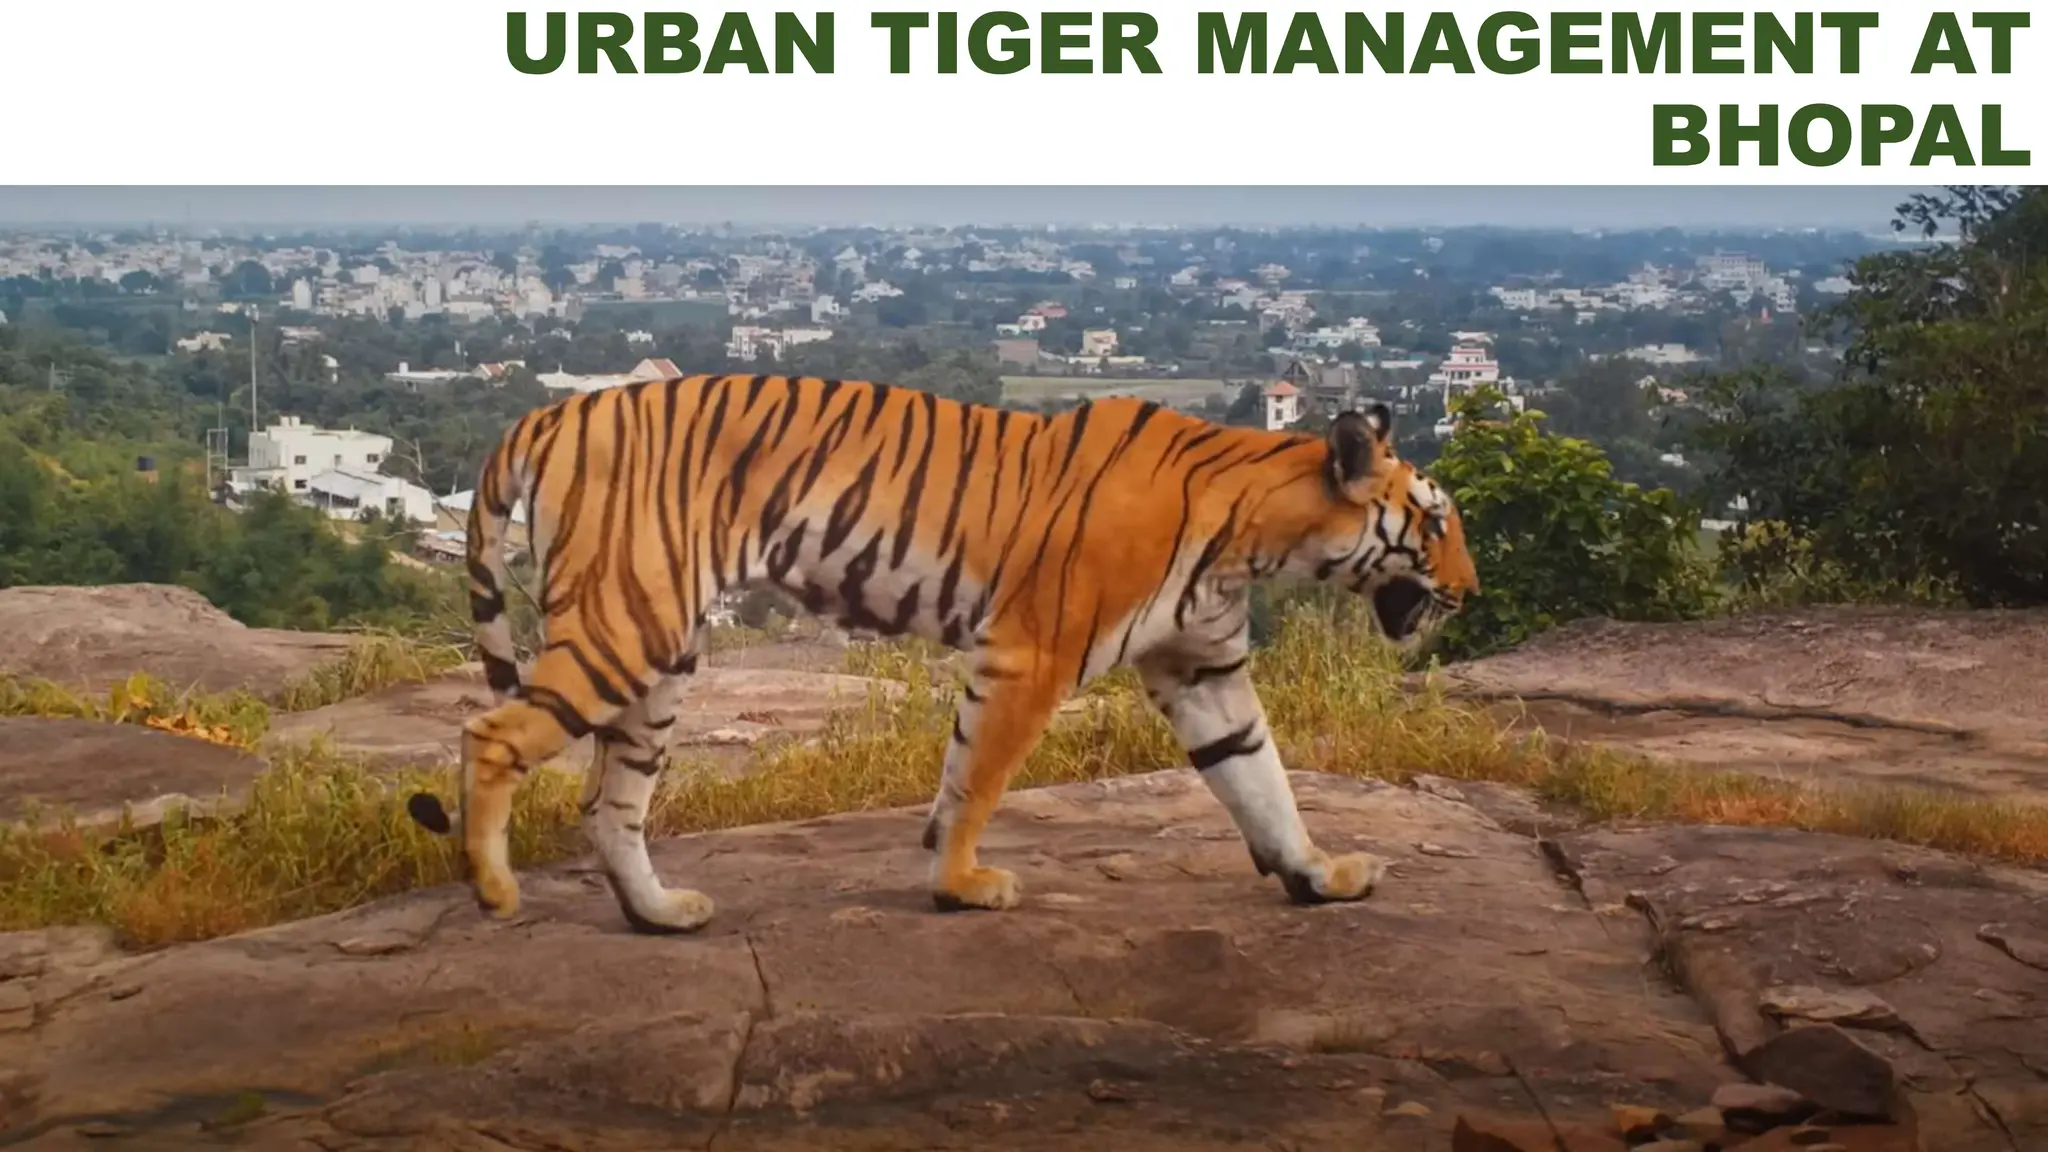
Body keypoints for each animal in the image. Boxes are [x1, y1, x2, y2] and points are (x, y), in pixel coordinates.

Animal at [404, 372, 1479, 934]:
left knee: (609, 799)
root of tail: (556, 408)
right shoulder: (1029, 656)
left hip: (660, 656)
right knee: (491, 734)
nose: (1469, 591)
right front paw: (961, 885)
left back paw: (661, 913)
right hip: (625, 628)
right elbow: (978, 780)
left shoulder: (1203, 672)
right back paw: (494, 891)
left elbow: (1263, 780)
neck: (1257, 533)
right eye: (1434, 522)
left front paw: (1318, 874)